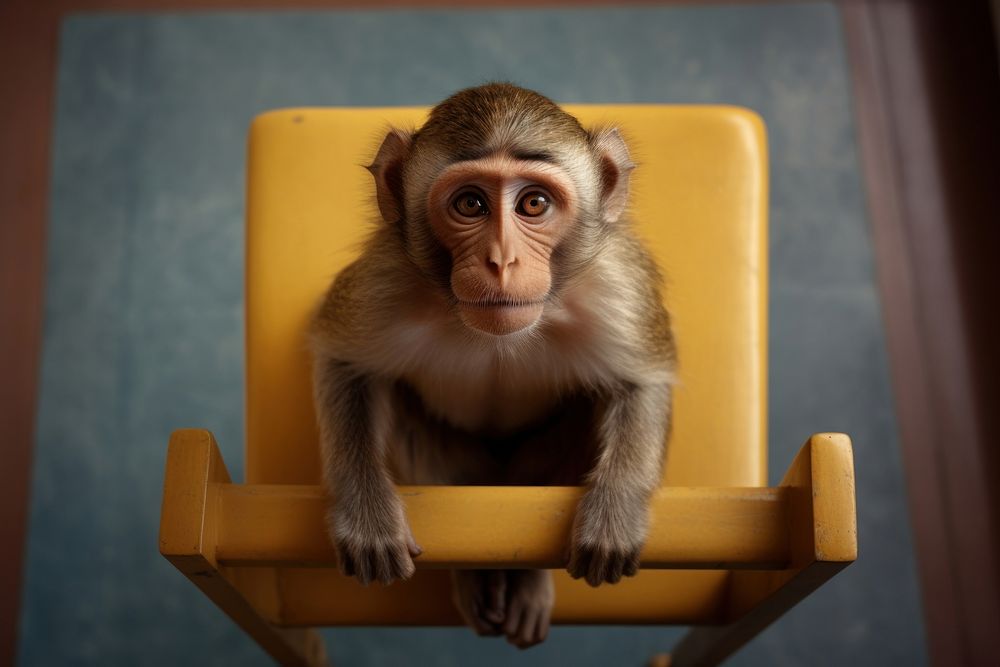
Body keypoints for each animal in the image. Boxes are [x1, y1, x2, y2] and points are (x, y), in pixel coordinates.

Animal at [309, 83, 675, 649]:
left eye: (534, 203)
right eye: (470, 204)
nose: (502, 261)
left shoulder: (617, 287)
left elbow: (640, 380)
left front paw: (614, 513)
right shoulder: (384, 281)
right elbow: (345, 363)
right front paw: (366, 515)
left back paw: (523, 580)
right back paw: (475, 573)